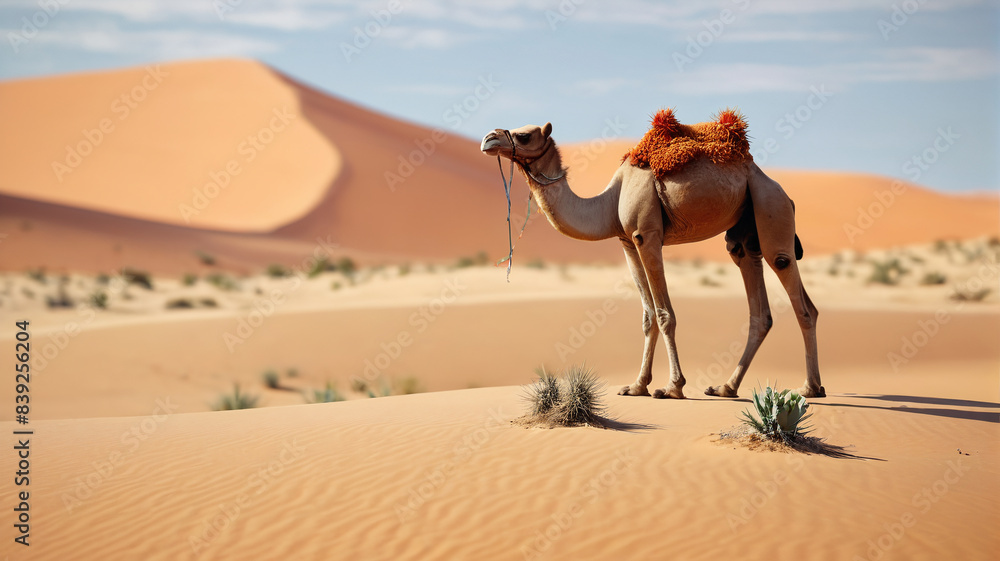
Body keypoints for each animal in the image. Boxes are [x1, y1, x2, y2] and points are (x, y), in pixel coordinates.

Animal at [480, 118, 825, 399]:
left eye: (524, 135)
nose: (488, 139)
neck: (609, 201)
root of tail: (778, 188)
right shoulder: (627, 242)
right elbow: (647, 317)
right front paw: (636, 386)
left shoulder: (647, 236)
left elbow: (664, 314)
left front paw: (672, 387)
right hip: (744, 230)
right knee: (759, 308)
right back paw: (726, 388)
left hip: (771, 207)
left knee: (796, 290)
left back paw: (809, 388)